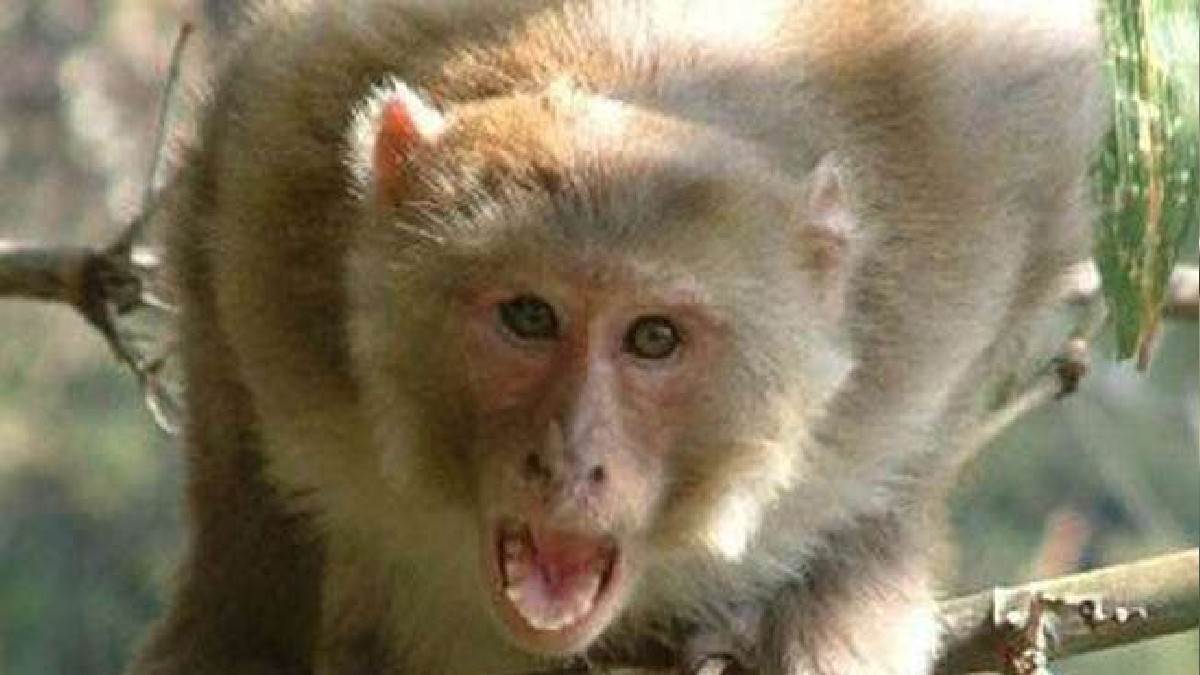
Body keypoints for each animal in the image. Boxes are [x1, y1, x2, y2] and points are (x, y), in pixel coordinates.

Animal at [127, 1, 1106, 674]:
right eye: (529, 316)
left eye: (654, 338)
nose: (570, 461)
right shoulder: (266, 216)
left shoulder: (933, 303)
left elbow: (885, 496)